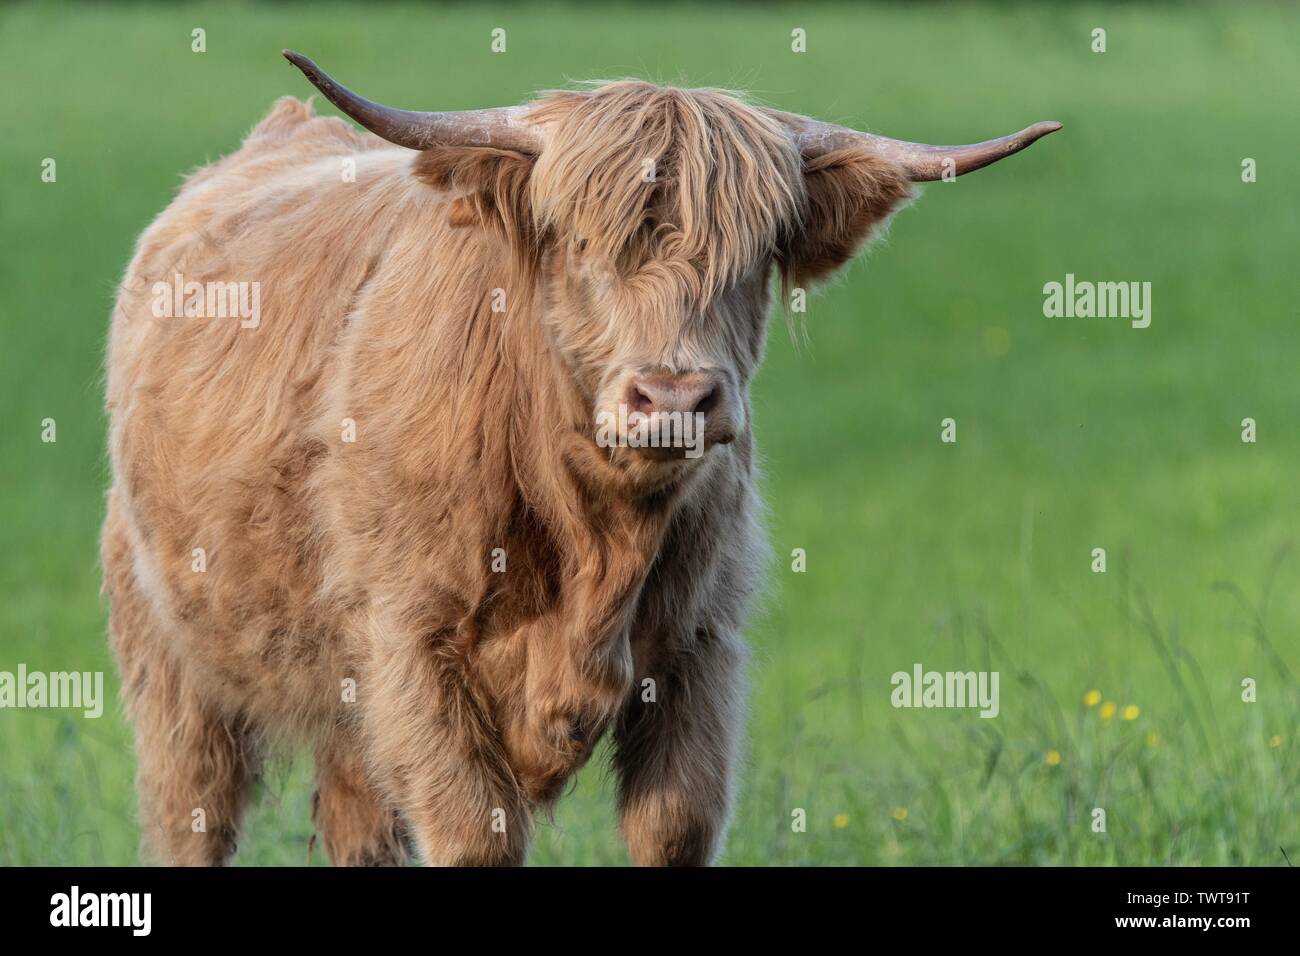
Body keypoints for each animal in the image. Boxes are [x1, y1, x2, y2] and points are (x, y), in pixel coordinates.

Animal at [101, 50, 1058, 866]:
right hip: (173, 665)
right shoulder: (408, 649)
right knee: (192, 813)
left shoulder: (700, 653)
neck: (594, 534)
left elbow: (675, 826)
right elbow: (474, 833)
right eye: (583, 242)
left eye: (754, 257)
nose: (672, 399)